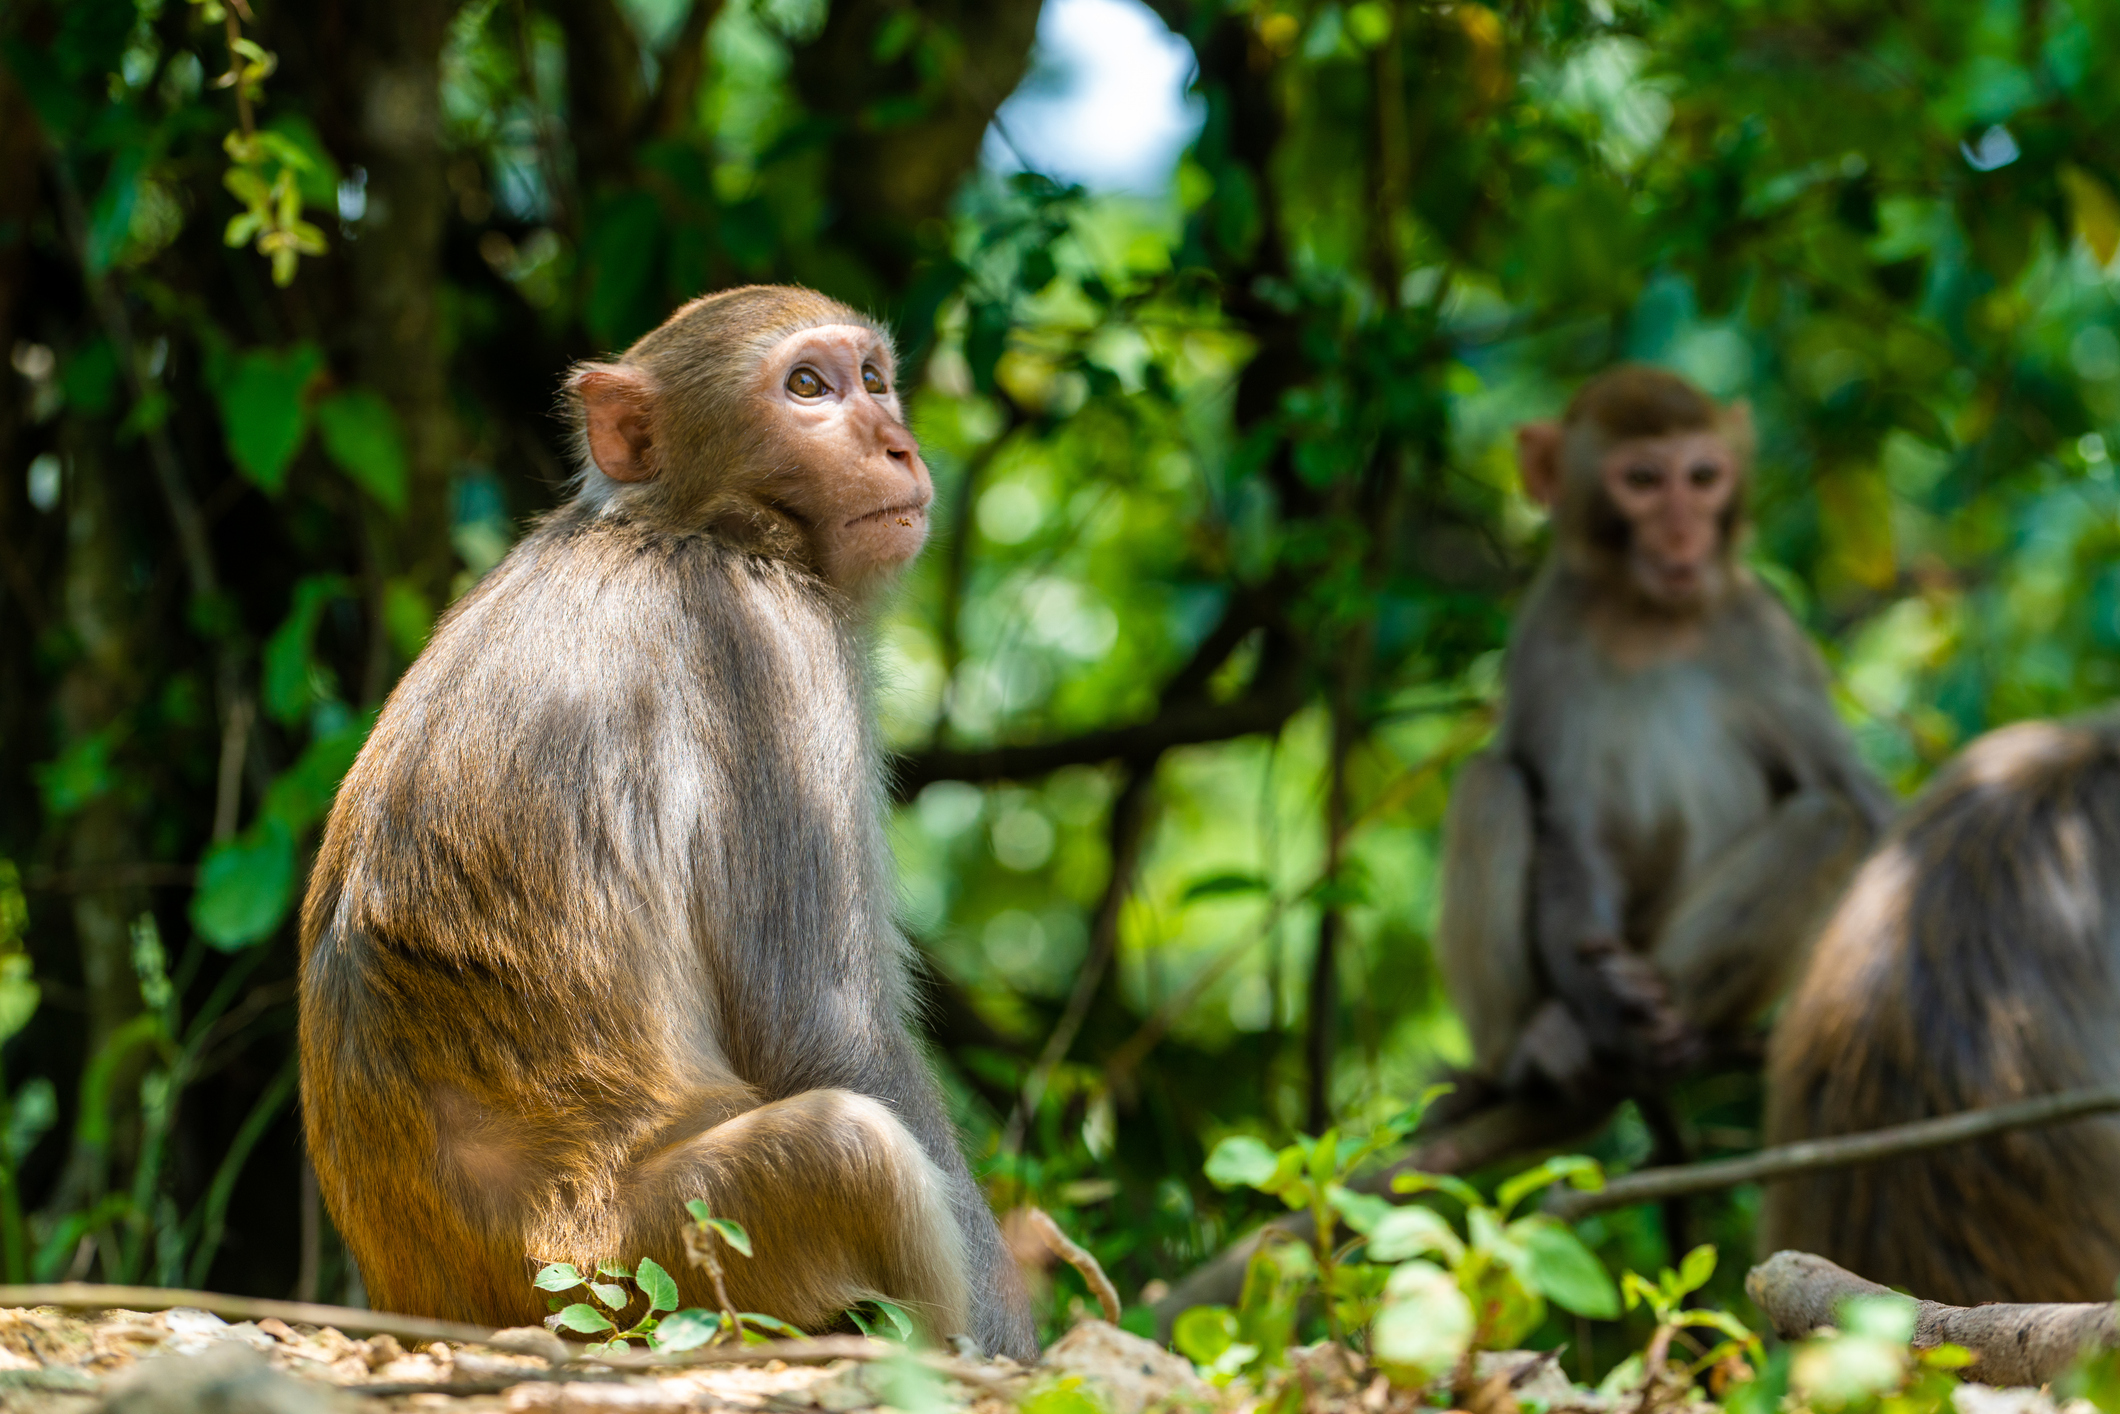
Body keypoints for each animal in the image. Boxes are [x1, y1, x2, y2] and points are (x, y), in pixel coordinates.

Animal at [297, 285, 1039, 1360]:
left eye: (874, 378)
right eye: (807, 387)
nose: (898, 443)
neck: (690, 524)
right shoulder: (771, 644)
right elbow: (825, 1028)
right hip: (654, 1258)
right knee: (851, 1148)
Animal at [1435, 365, 1892, 1102]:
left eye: (1703, 477)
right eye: (1644, 480)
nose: (1683, 535)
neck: (1647, 619)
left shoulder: (1764, 635)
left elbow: (1860, 802)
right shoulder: (1545, 643)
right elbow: (1568, 829)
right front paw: (1601, 1007)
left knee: (1825, 821)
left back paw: (1672, 1012)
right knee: (1488, 785)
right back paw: (1533, 1043)